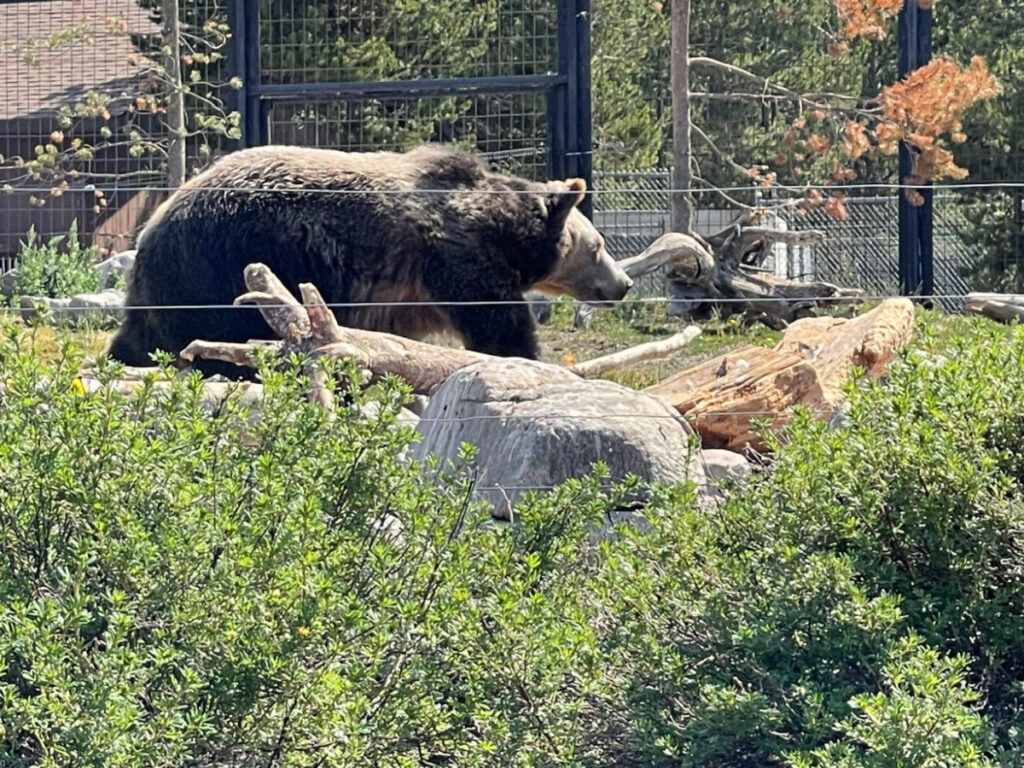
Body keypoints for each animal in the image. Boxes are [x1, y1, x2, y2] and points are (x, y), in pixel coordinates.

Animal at [106, 144, 633, 378]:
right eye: (599, 246)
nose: (624, 285)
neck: (504, 231)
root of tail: (152, 224)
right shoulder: (460, 262)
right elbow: (499, 325)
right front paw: (525, 357)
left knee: (142, 332)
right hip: (222, 260)